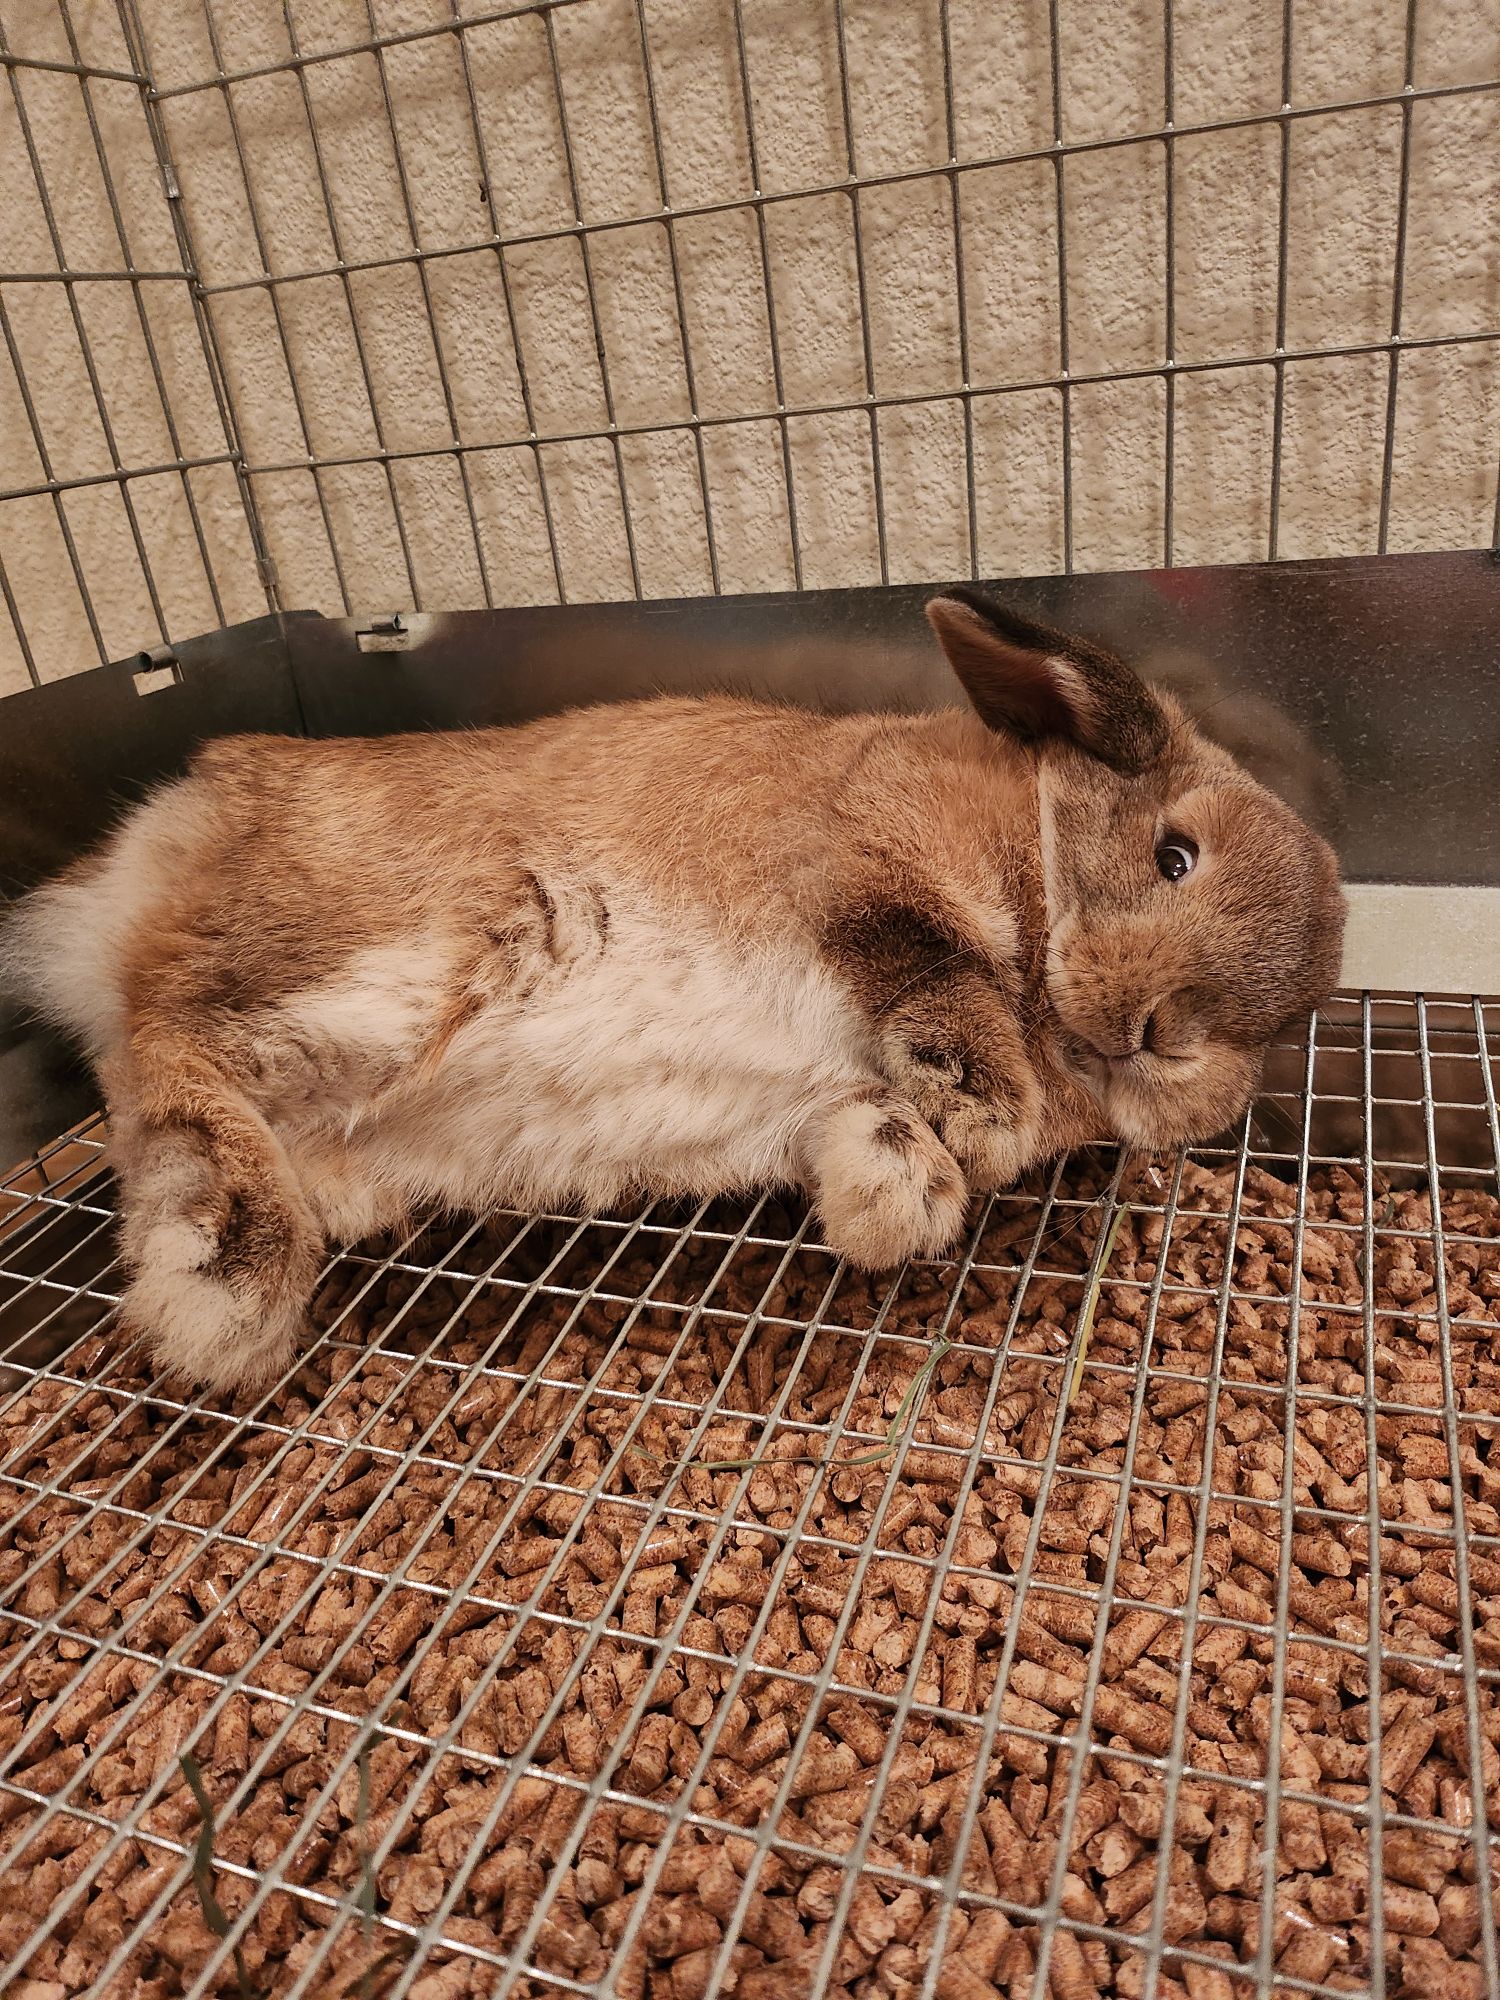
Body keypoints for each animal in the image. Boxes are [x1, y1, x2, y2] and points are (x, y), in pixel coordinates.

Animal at [2, 586, 1344, 1394]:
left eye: (1289, 1023)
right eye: (1175, 853)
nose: (1162, 1037)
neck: (1041, 861)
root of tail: (150, 848)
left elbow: (880, 1134)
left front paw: (887, 1200)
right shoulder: (867, 858)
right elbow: (929, 961)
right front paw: (979, 1104)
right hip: (382, 958)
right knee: (164, 1033)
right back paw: (227, 1263)